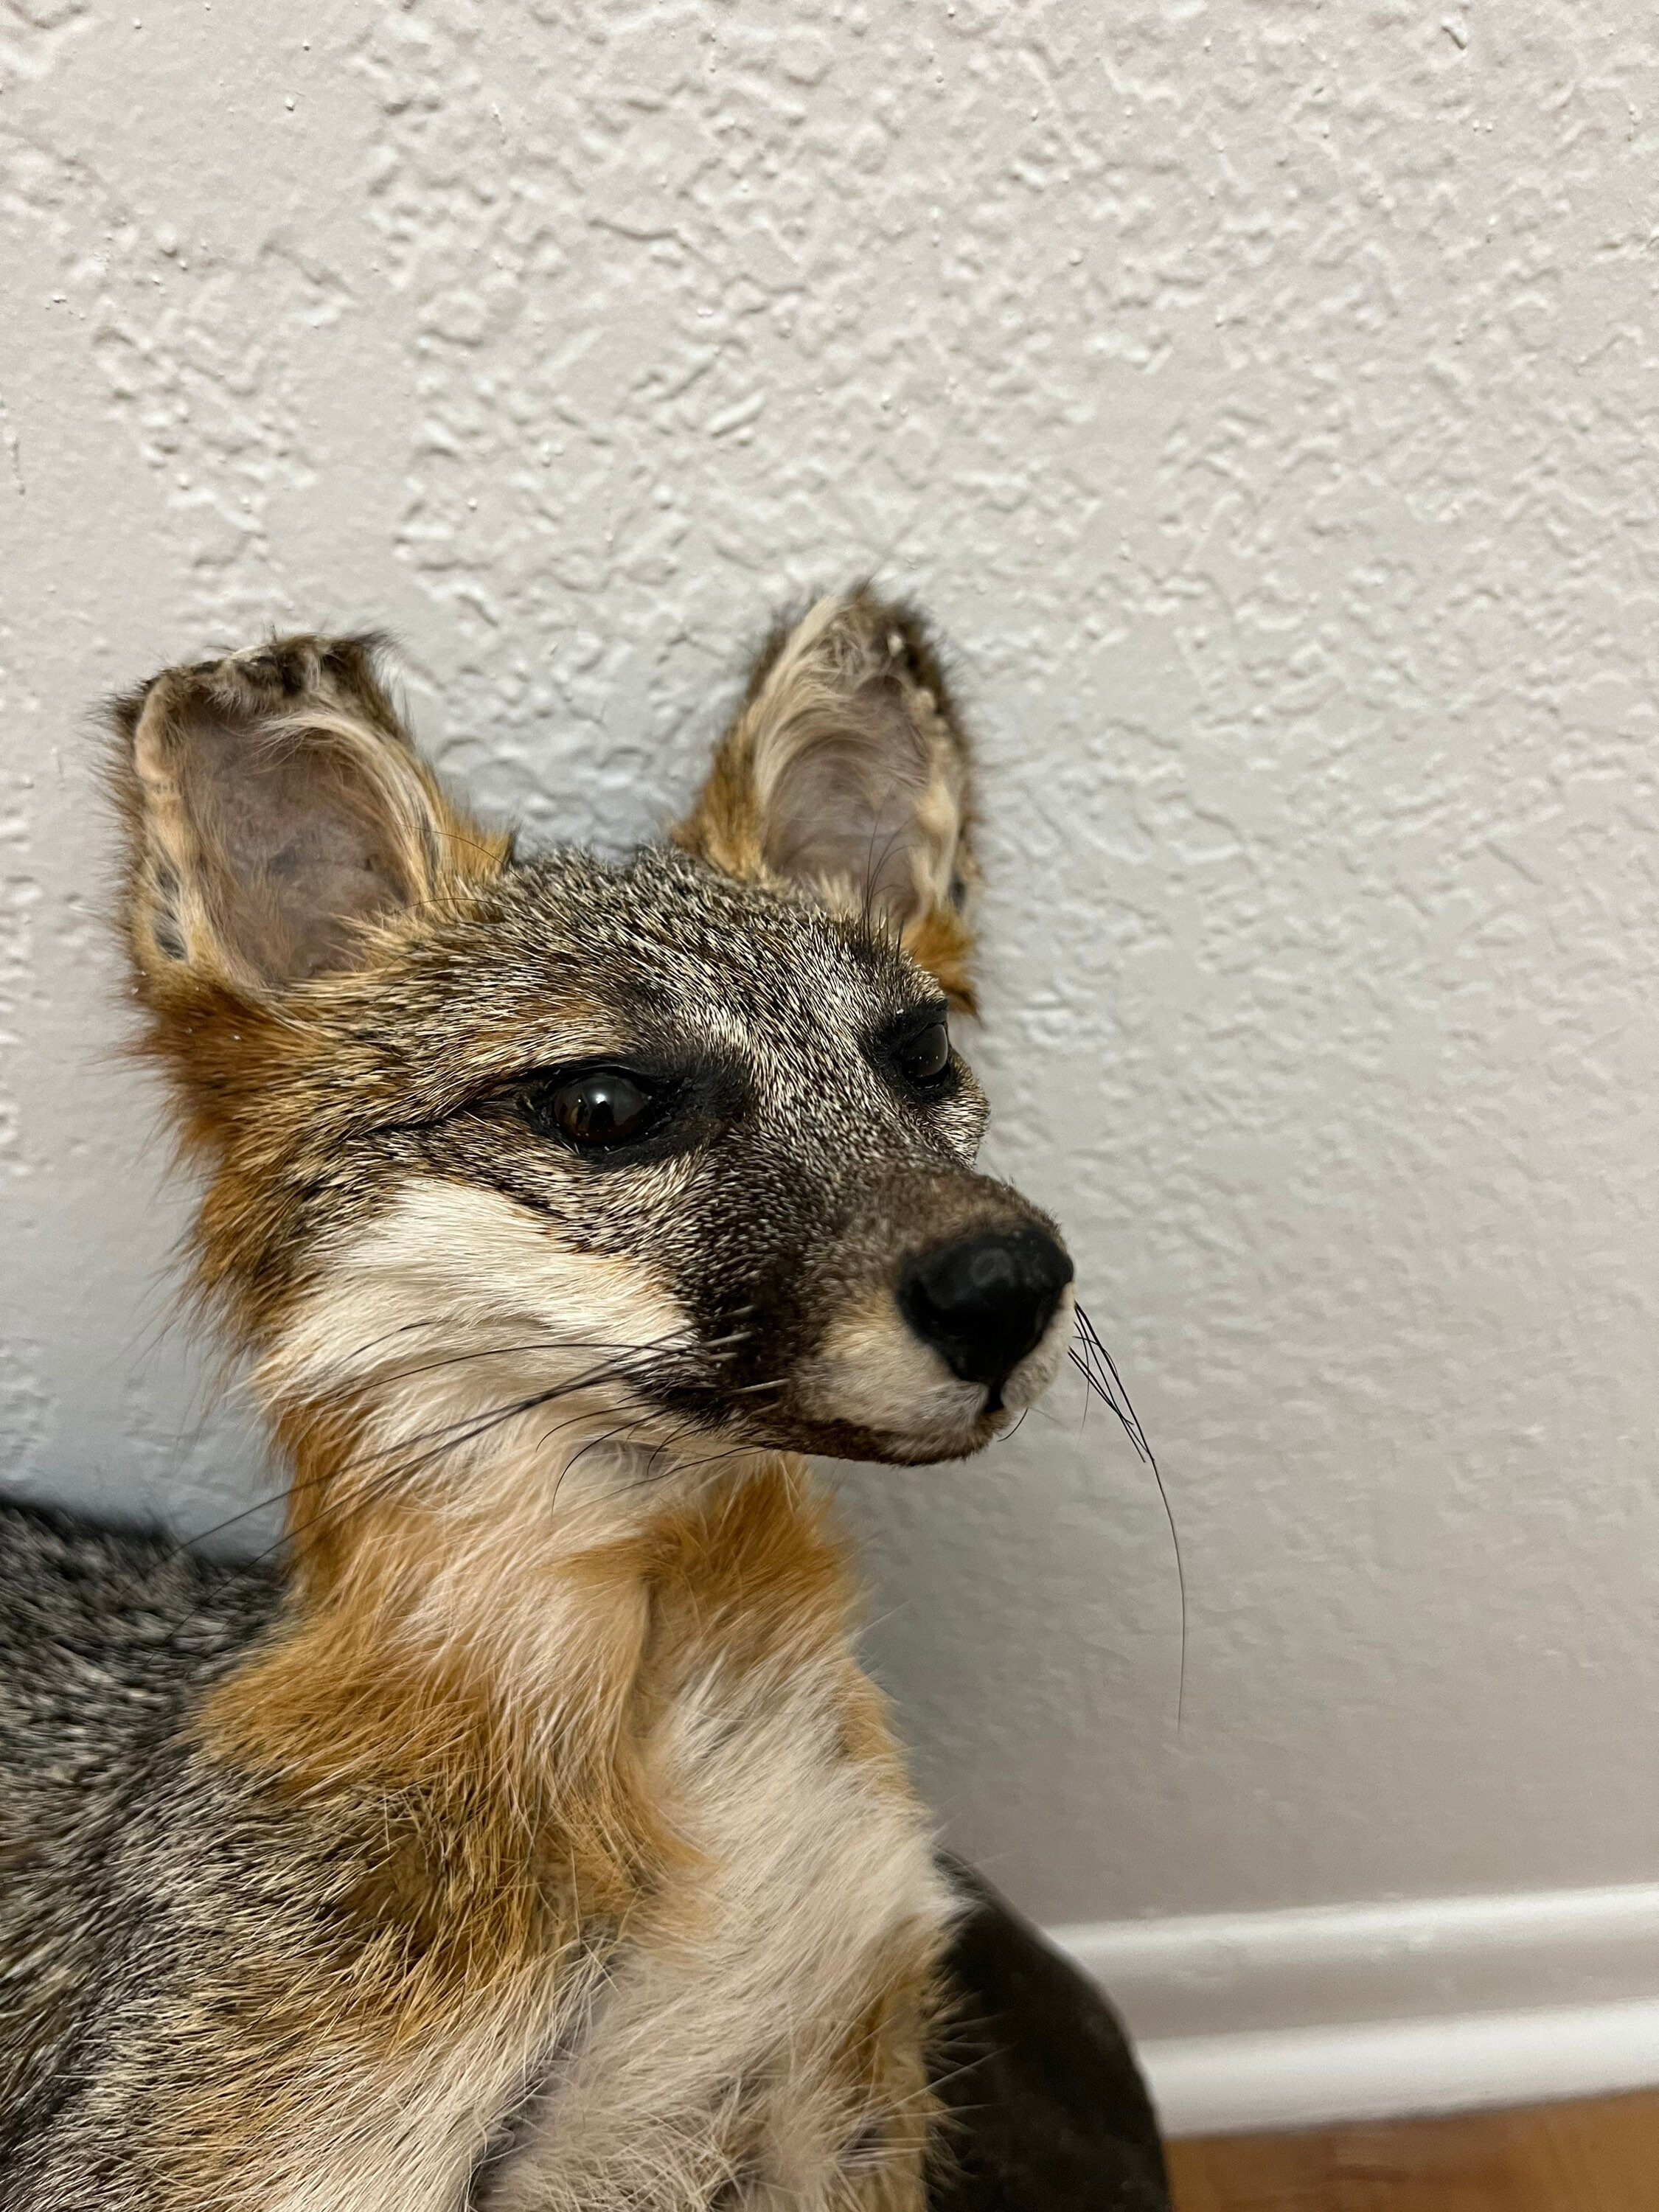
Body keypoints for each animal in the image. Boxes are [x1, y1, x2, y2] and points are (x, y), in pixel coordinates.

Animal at [0, 593, 1167, 2211]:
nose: (1007, 1282)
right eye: (606, 1108)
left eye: (921, 1058)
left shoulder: (833, 2110)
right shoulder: (276, 2152)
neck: (690, 1715)